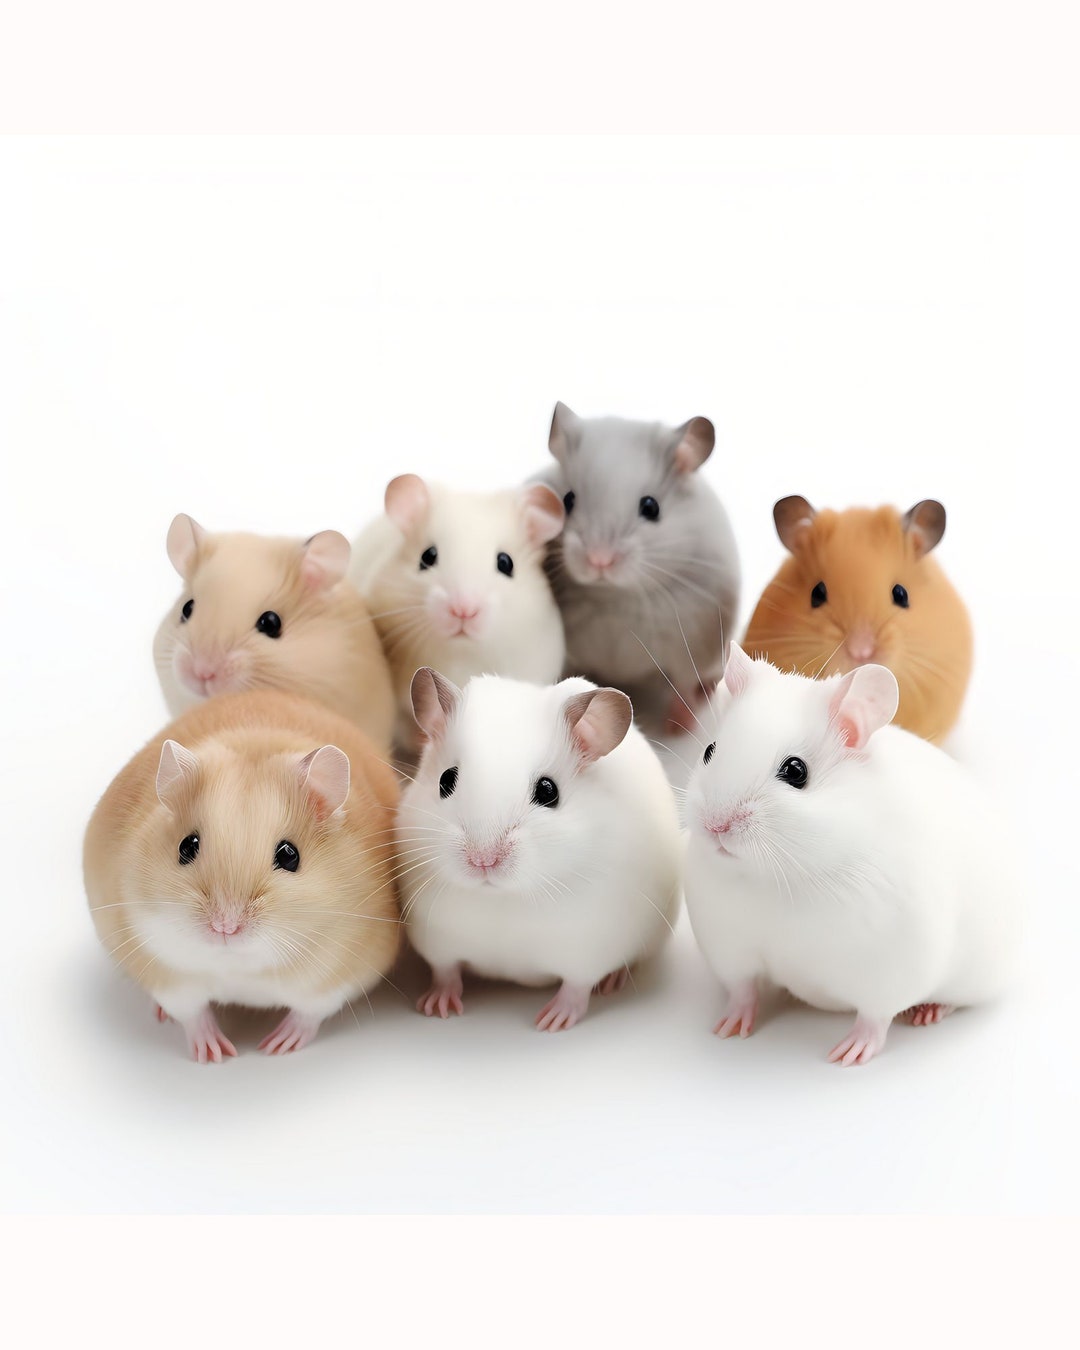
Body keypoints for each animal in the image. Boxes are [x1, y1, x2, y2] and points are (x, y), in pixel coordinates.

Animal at [84, 690, 401, 1061]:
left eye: (289, 855)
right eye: (186, 847)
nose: (225, 927)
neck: (240, 964)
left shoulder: (342, 975)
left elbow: (308, 1014)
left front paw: (276, 1047)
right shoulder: (167, 975)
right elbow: (192, 1014)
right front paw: (215, 1055)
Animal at [397, 669, 682, 1030]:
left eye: (548, 791)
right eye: (445, 780)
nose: (483, 860)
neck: (503, 897)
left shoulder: (589, 950)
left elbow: (576, 988)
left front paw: (551, 1022)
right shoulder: (437, 941)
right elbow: (444, 972)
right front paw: (435, 1007)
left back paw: (612, 982)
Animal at [535, 403, 741, 734]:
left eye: (651, 507)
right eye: (566, 500)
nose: (599, 560)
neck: (612, 595)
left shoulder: (694, 648)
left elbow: (684, 686)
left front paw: (676, 726)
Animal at [683, 643, 1019, 1066]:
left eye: (796, 771)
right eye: (709, 751)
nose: (716, 826)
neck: (783, 876)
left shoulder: (890, 972)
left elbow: (875, 1018)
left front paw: (847, 1055)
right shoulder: (729, 947)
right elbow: (743, 990)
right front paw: (726, 1029)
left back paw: (929, 1012)